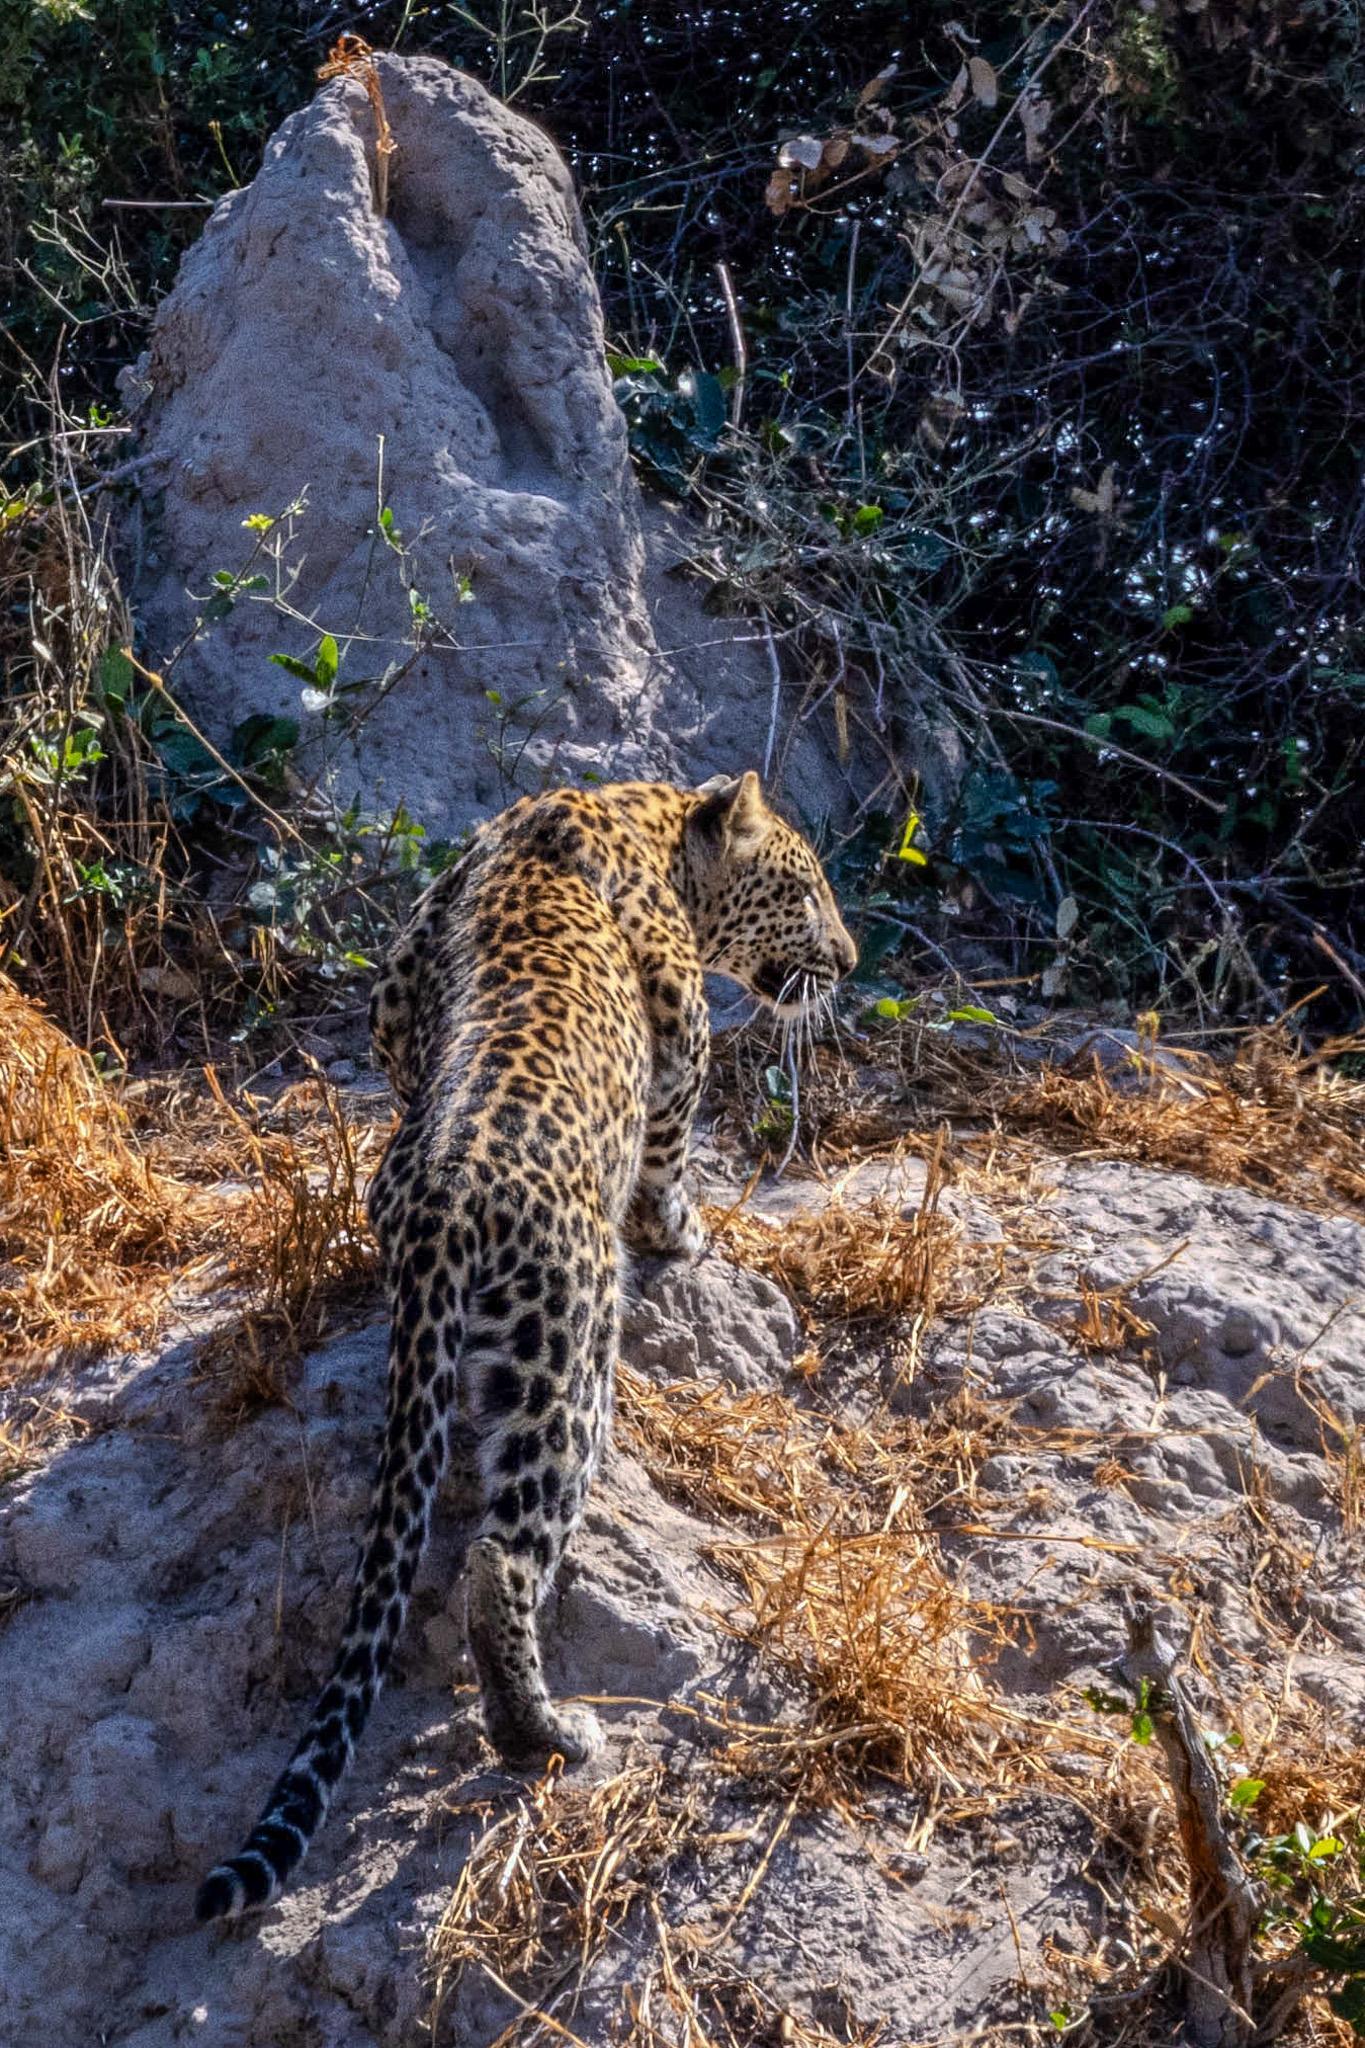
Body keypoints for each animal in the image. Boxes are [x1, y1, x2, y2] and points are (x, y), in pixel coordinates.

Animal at [196, 772, 856, 1921]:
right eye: (804, 889)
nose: (852, 962)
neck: (646, 819)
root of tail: (438, 1200)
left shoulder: (394, 994)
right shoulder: (678, 1048)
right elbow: (666, 1166)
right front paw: (685, 1236)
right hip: (564, 1353)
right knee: (500, 1554)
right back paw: (545, 1732)